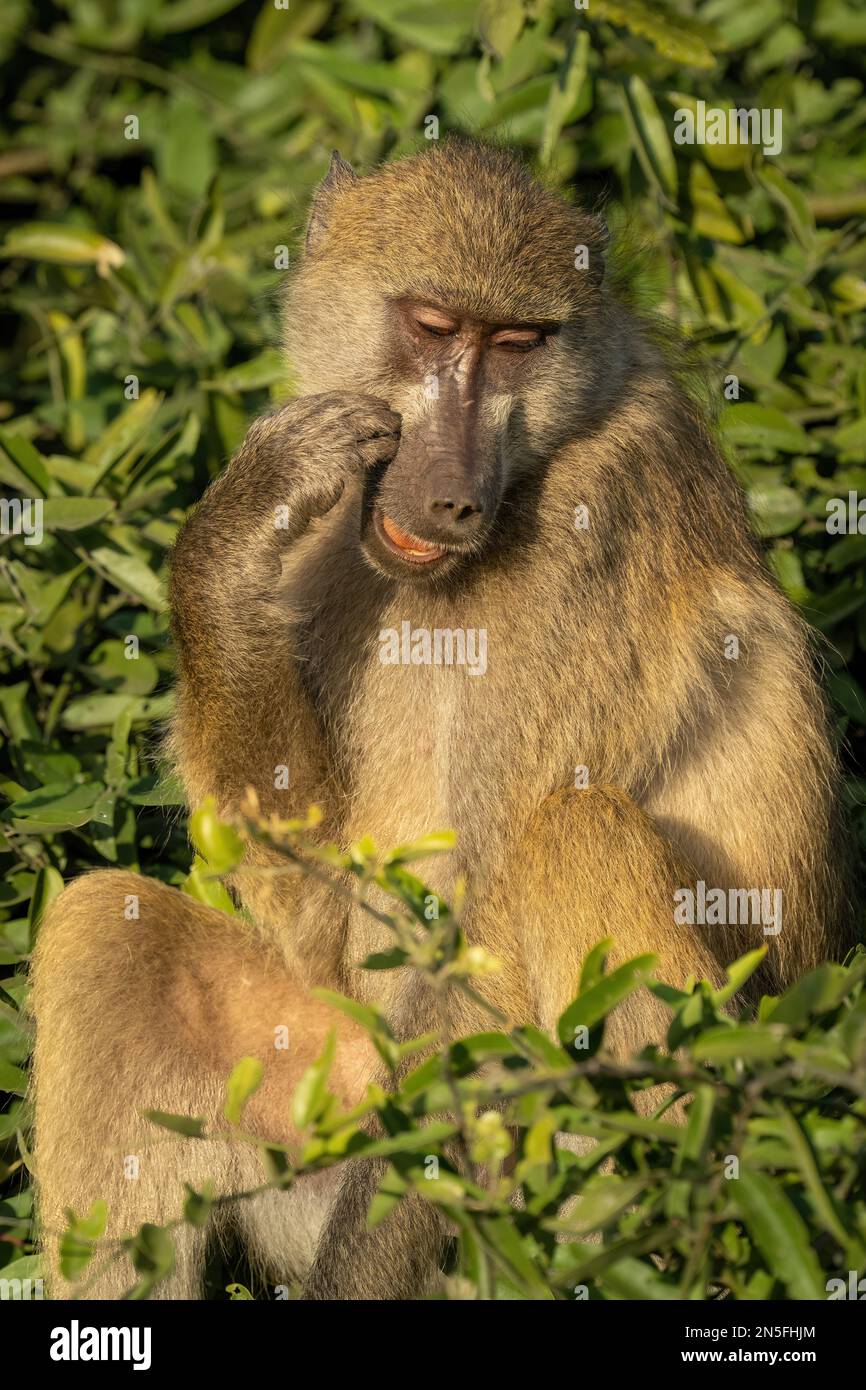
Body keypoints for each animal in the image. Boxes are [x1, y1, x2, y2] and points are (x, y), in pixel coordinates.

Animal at [30, 138, 856, 1301]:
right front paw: (237, 538)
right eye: (430, 326)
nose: (453, 493)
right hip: (308, 1115)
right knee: (108, 925)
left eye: (515, 345)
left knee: (573, 832)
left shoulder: (598, 528)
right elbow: (312, 919)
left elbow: (480, 927)